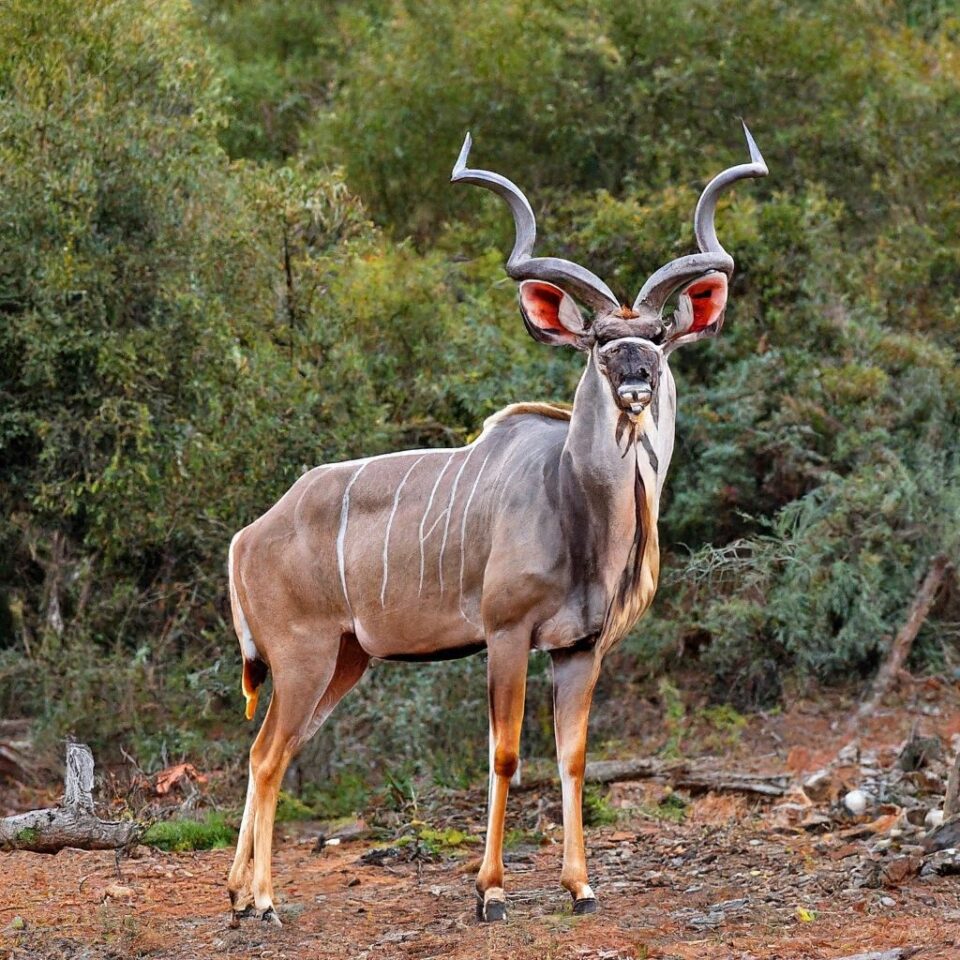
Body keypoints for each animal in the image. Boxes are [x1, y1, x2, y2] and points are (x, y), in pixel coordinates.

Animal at [225, 123, 767, 926]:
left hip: (343, 660)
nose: (637, 382)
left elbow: (572, 756)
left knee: (278, 750)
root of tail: (247, 536)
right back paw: (262, 902)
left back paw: (237, 894)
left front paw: (581, 886)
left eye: (660, 337)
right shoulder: (507, 635)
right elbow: (505, 754)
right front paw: (491, 891)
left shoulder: (578, 649)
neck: (576, 503)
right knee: (266, 756)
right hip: (303, 657)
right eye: (598, 340)